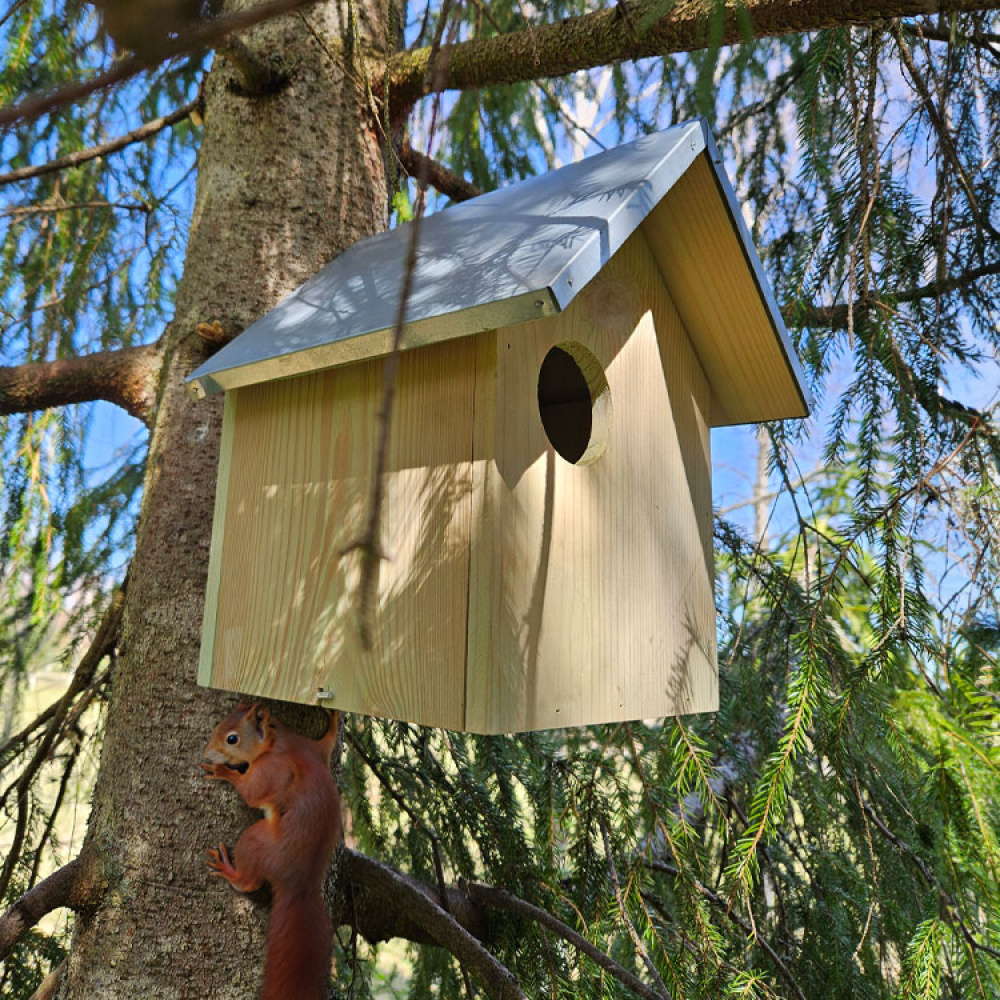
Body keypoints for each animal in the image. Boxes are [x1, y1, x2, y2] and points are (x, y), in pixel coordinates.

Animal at [201, 703, 342, 1000]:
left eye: (232, 738)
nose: (208, 751)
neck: (282, 744)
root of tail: (299, 882)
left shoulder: (271, 771)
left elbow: (251, 792)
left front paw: (223, 771)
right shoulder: (312, 750)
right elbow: (326, 746)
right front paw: (332, 723)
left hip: (255, 841)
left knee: (249, 882)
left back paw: (228, 869)